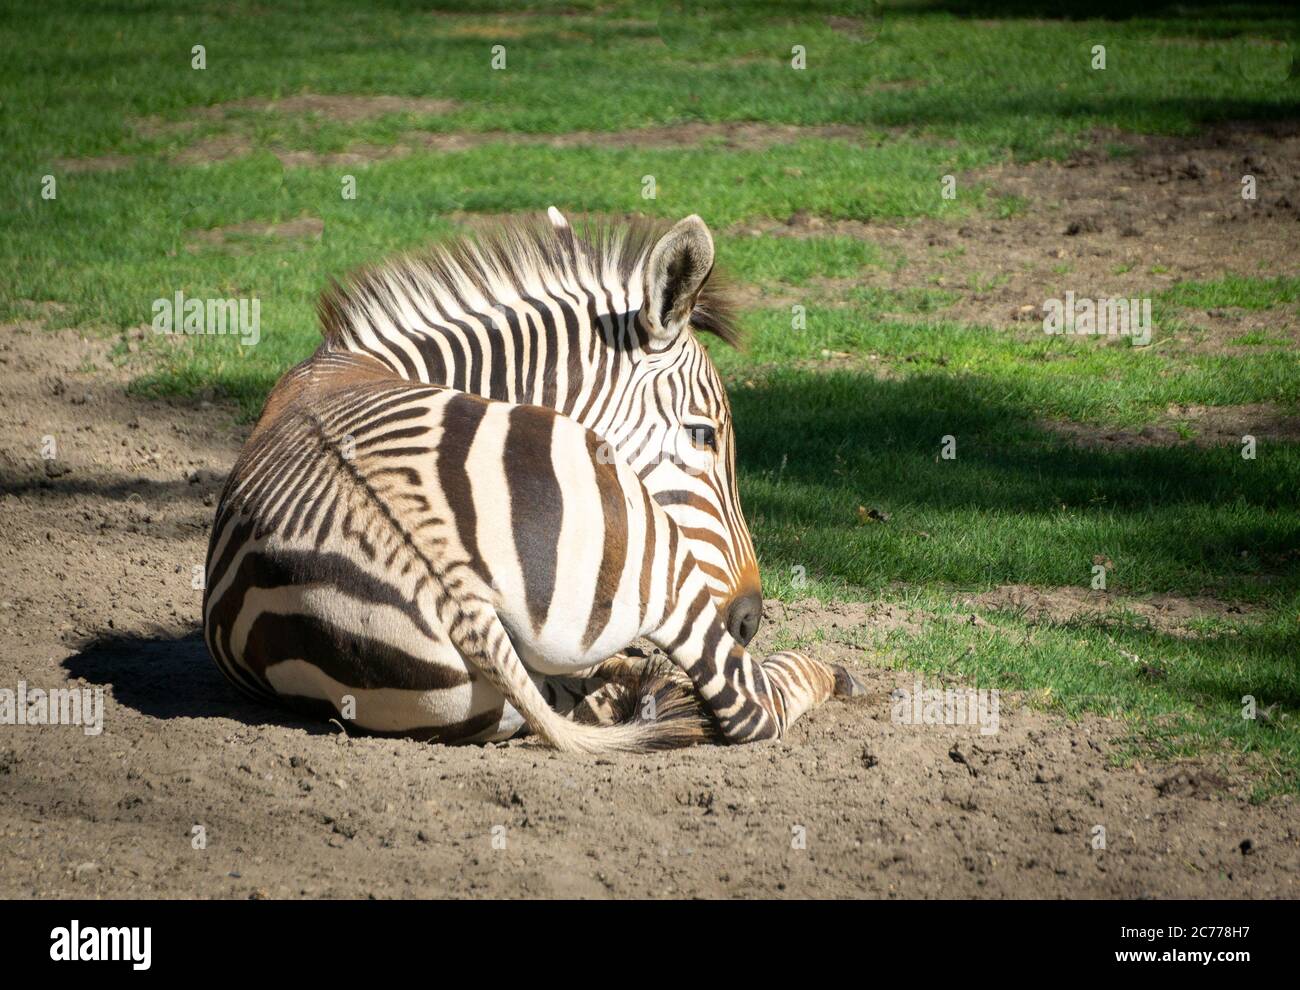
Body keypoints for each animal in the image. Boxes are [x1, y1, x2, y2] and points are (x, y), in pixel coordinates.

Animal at [203, 210, 864, 751]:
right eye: (703, 434)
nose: (749, 618)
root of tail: (453, 587)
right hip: (657, 548)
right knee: (752, 705)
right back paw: (826, 674)